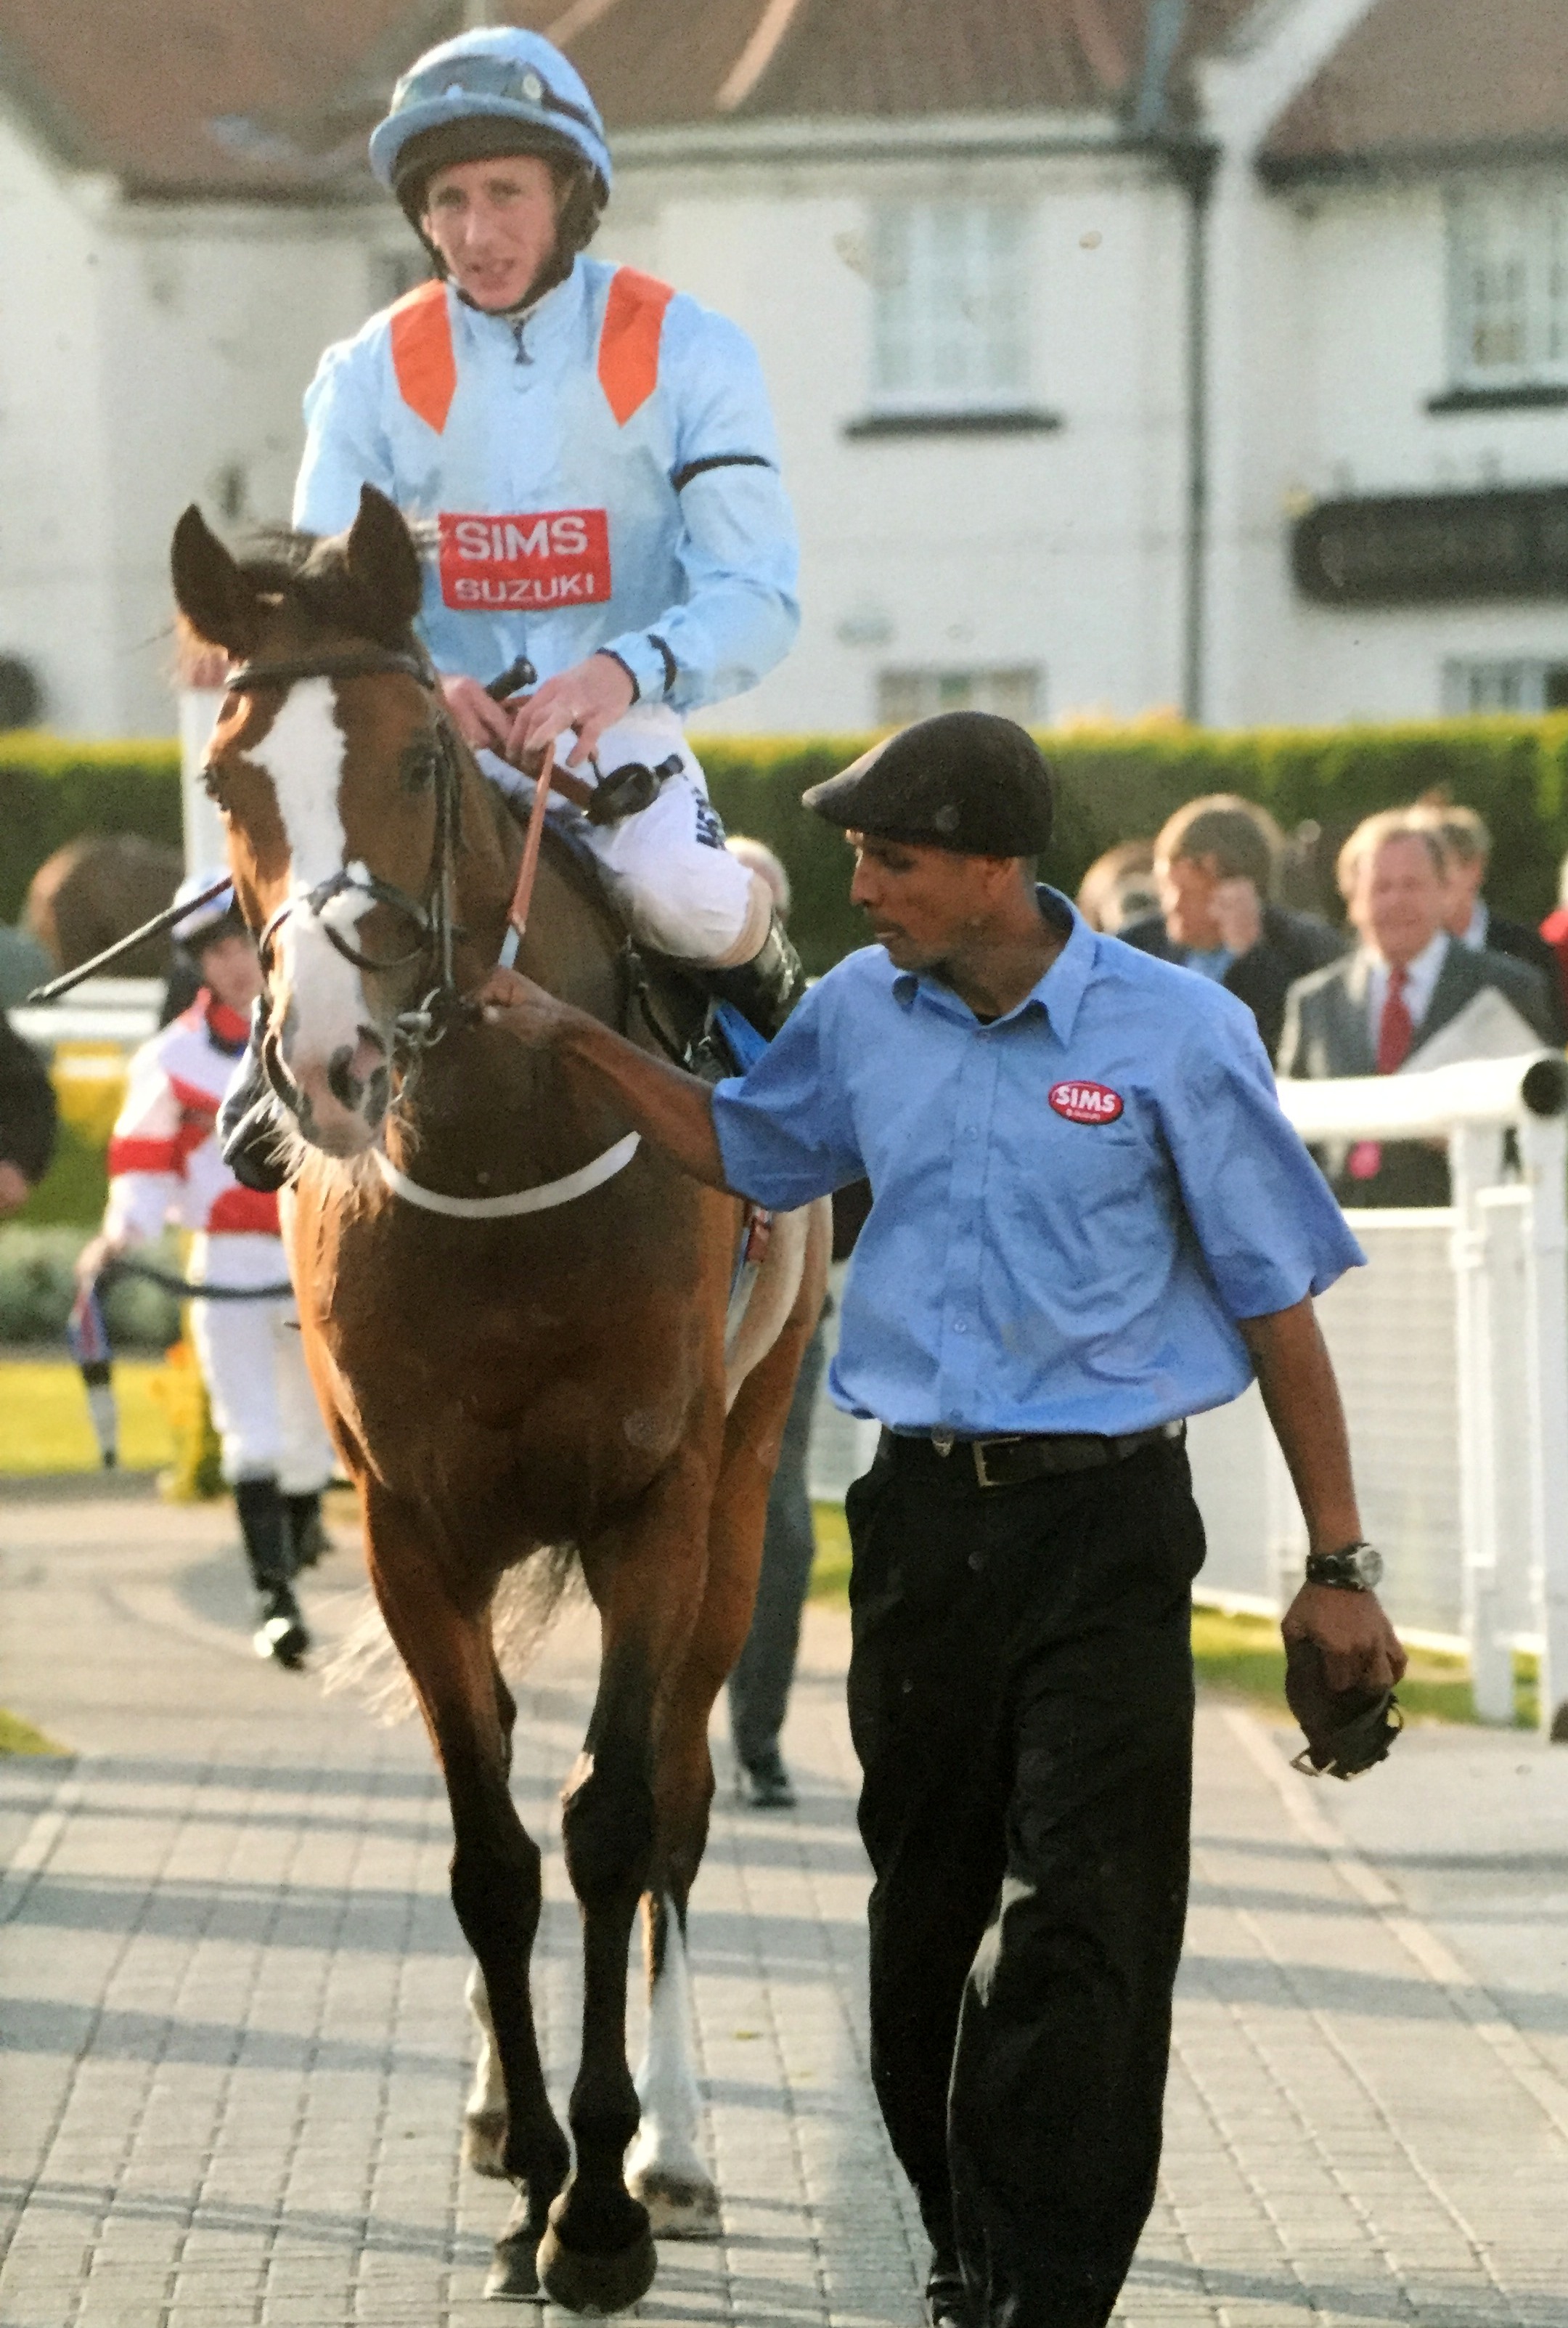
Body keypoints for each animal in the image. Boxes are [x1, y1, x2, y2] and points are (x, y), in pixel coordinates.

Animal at [170, 484, 829, 2313]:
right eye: (227, 782)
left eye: (415, 755)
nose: (327, 1055)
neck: (494, 1157)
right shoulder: (413, 1529)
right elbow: (488, 1856)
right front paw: (533, 2168)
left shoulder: (652, 1506)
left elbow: (616, 1823)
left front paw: (600, 2203)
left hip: (746, 1484)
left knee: (677, 1807)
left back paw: (674, 2145)